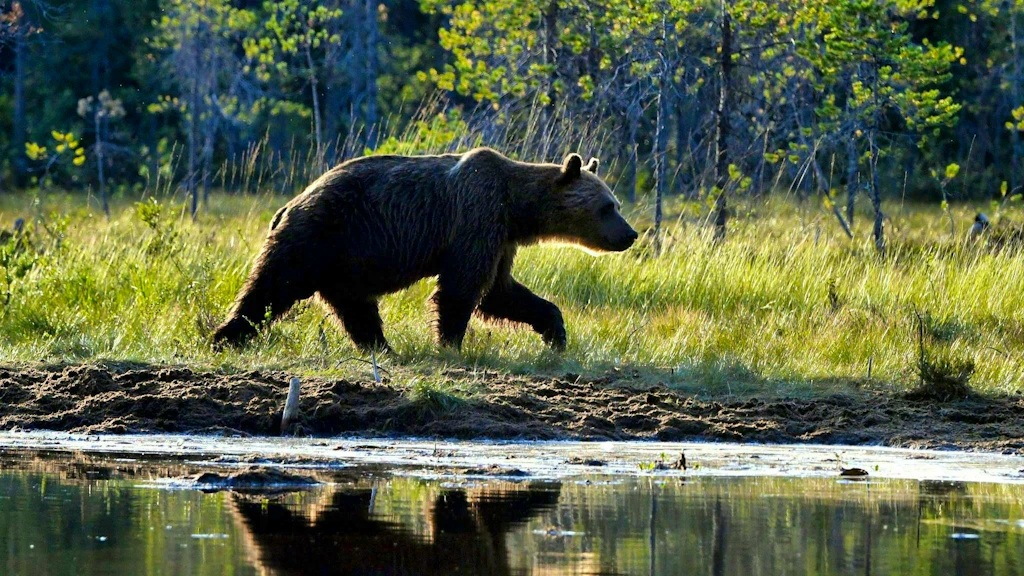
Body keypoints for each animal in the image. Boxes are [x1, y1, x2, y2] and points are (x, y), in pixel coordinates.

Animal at [212, 147, 638, 352]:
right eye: (607, 207)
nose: (630, 234)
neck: (517, 207)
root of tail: (288, 204)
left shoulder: (500, 237)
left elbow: (501, 291)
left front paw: (556, 333)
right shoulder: (476, 216)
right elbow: (463, 288)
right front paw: (449, 343)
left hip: (343, 261)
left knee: (356, 307)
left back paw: (383, 348)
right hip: (318, 236)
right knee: (270, 287)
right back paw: (225, 336)